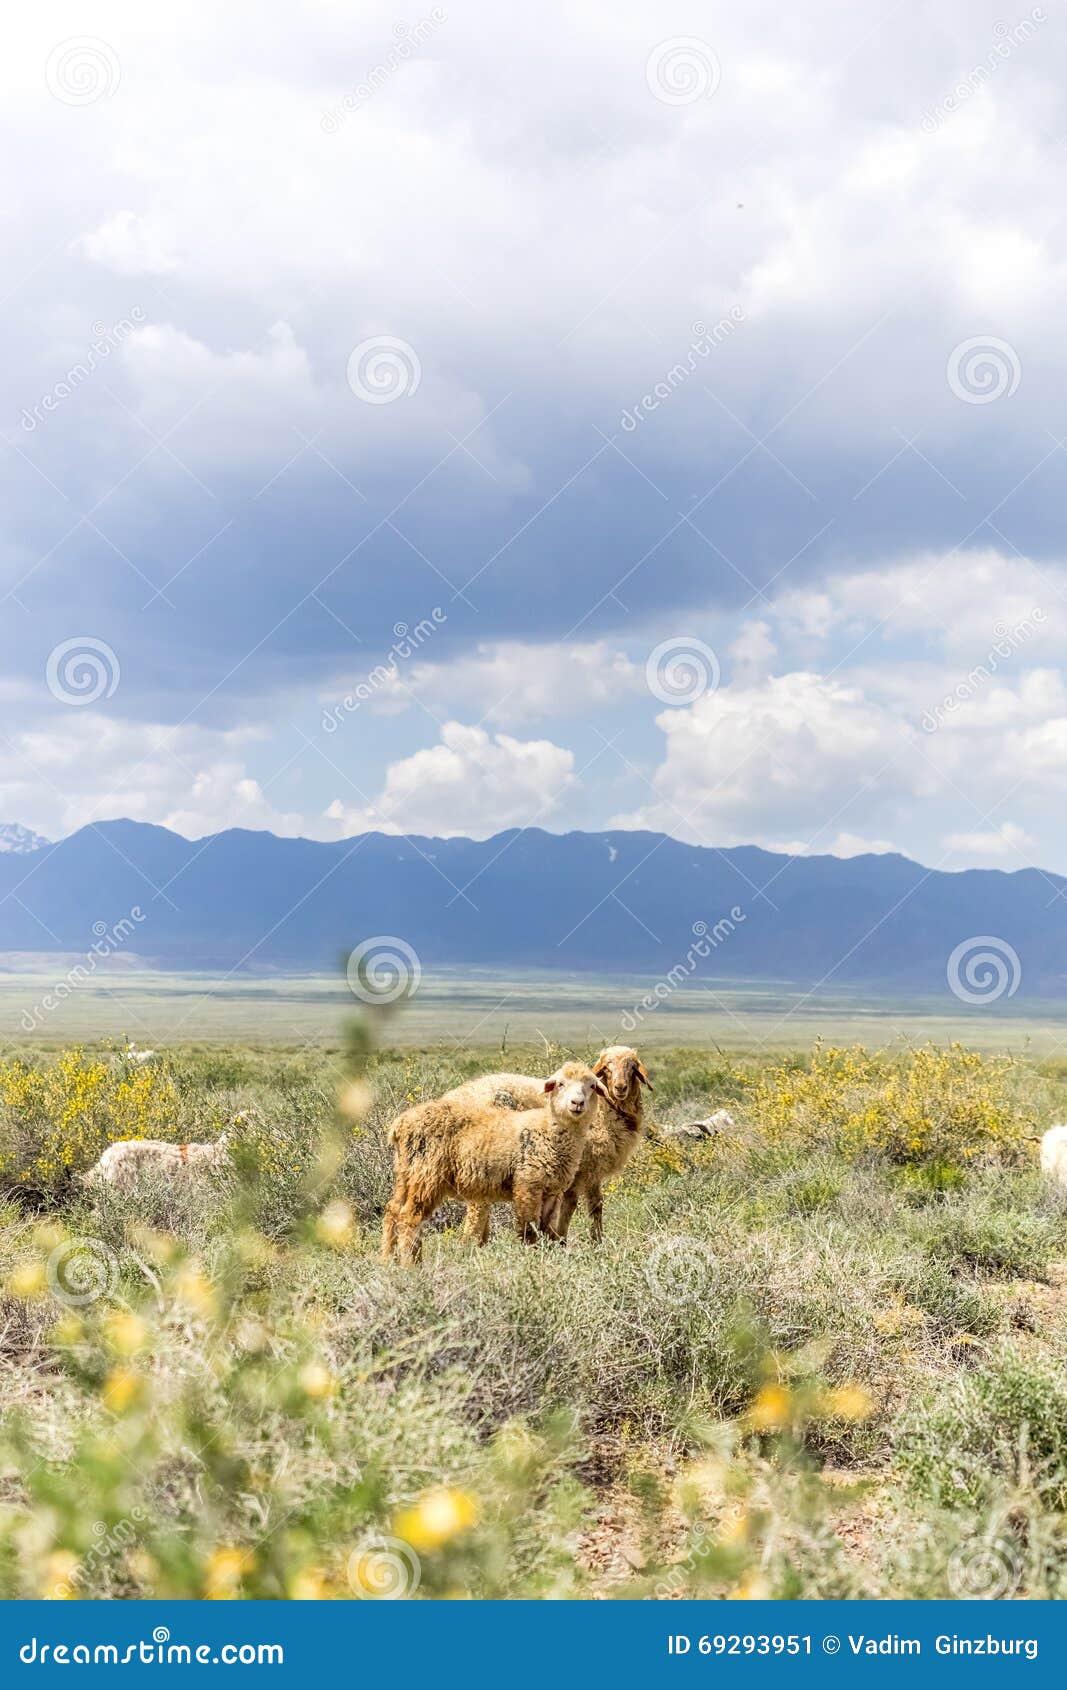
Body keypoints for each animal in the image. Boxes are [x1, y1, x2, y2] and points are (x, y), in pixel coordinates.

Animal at [381, 1061, 608, 1264]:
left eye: (591, 1086)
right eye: (560, 1084)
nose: (577, 1103)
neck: (548, 1130)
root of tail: (400, 1123)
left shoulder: (552, 1191)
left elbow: (547, 1231)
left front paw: (548, 1257)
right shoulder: (527, 1185)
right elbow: (528, 1229)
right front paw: (530, 1259)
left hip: (405, 1171)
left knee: (392, 1210)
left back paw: (387, 1260)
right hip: (427, 1173)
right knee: (410, 1217)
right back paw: (412, 1264)